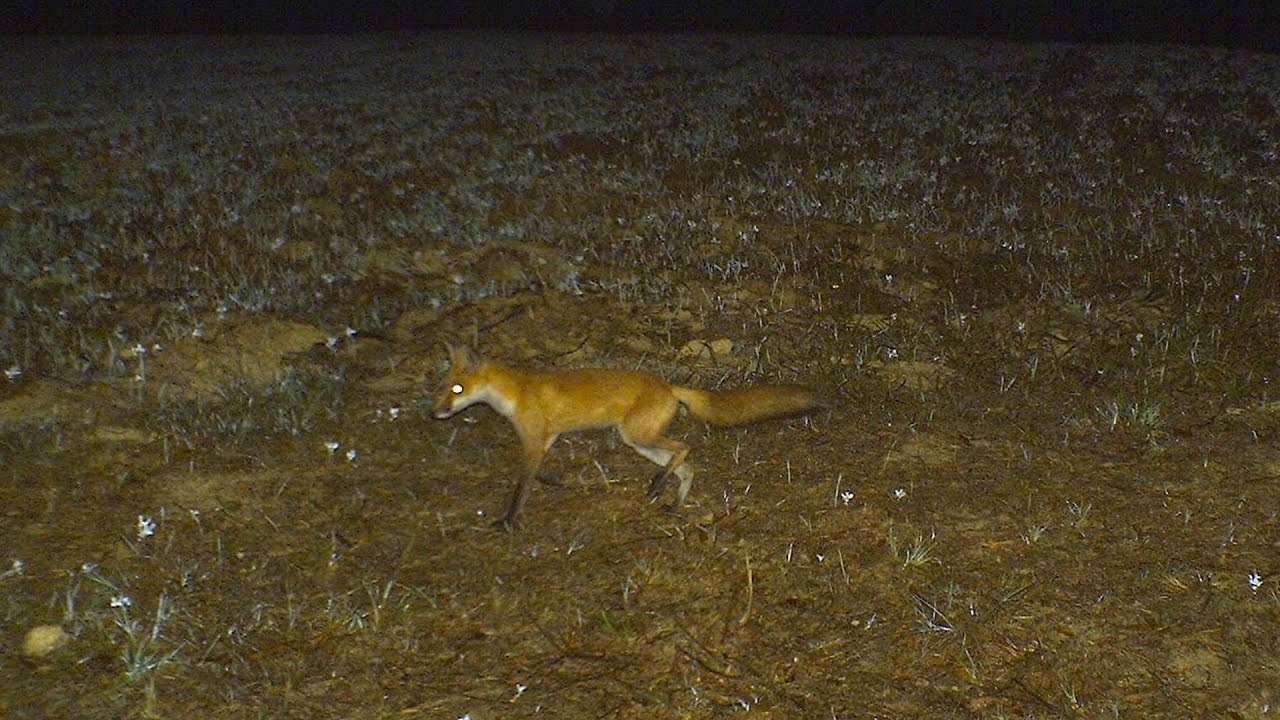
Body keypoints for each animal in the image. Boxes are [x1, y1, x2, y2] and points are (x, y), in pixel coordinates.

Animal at [432, 342, 823, 529]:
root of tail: (667, 384)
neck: (516, 393)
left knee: (684, 448)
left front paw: (509, 522)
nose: (434, 413)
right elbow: (539, 475)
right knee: (687, 466)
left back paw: (658, 485)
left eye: (457, 389)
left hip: (638, 435)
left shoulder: (532, 441)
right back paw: (674, 502)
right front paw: (555, 482)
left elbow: (521, 486)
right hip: (637, 440)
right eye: (444, 387)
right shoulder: (546, 439)